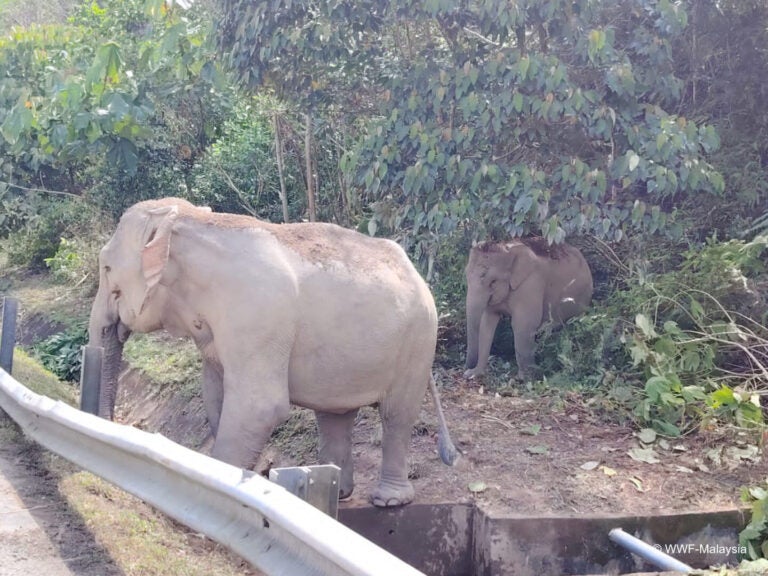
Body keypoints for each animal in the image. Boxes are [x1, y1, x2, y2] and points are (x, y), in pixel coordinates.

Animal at [86, 197, 457, 507]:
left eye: (106, 269)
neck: (191, 219)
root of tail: (414, 270)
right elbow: (215, 395)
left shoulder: (257, 313)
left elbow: (260, 405)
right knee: (335, 417)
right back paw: (336, 493)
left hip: (418, 341)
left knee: (397, 414)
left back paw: (389, 501)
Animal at [464, 238, 593, 381]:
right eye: (466, 275)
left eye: (493, 281)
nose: (467, 368)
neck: (507, 249)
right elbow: (487, 324)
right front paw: (474, 374)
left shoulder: (531, 284)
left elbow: (523, 324)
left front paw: (523, 379)